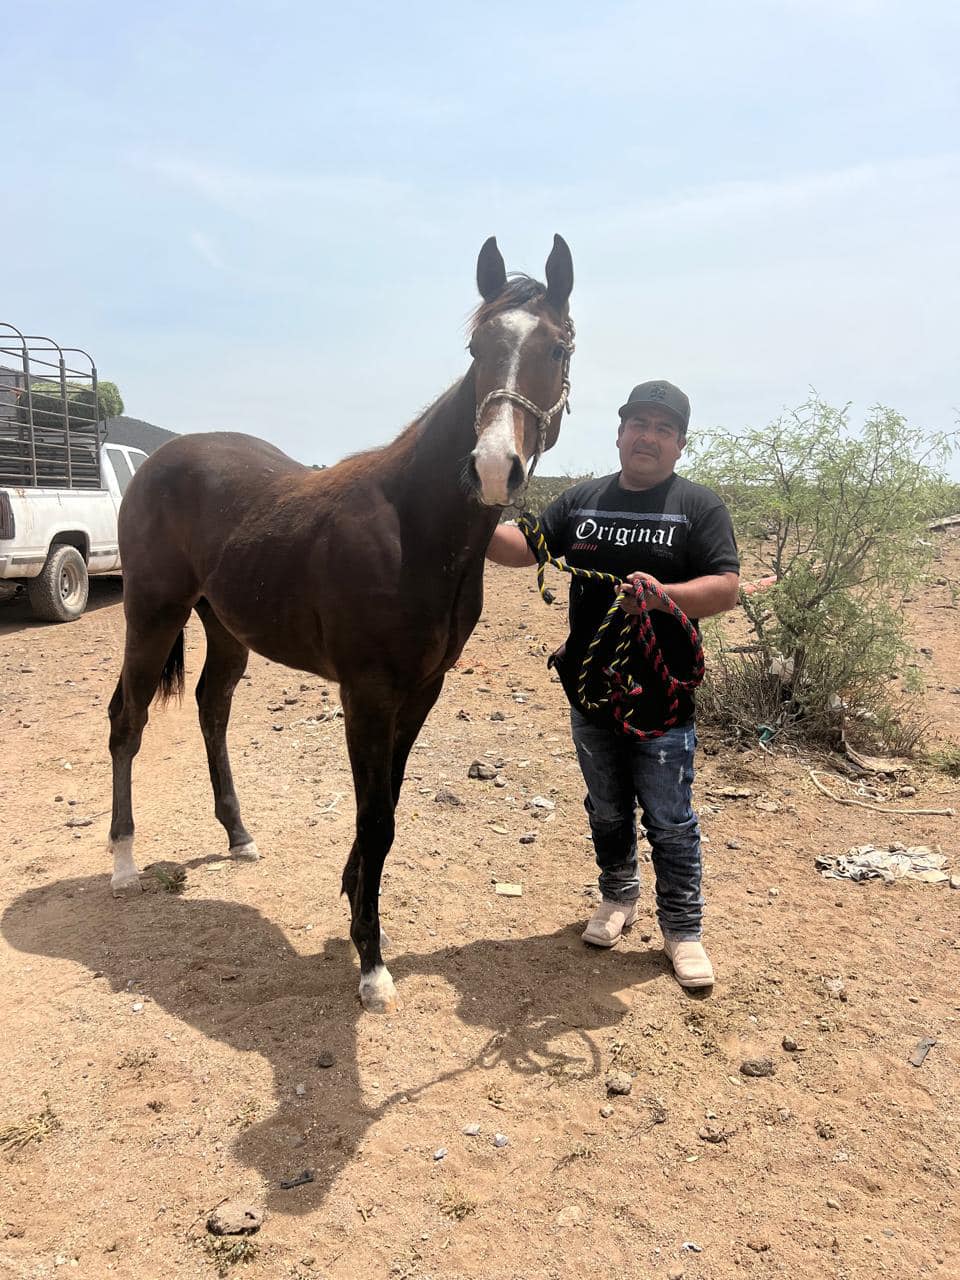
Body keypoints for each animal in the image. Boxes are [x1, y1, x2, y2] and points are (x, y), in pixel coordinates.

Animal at [107, 235, 574, 1013]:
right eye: (475, 348)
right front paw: (371, 960)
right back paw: (121, 860)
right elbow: (375, 814)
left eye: (560, 347)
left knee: (211, 706)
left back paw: (238, 834)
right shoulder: (367, 692)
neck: (412, 526)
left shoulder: (422, 690)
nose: (492, 467)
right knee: (127, 719)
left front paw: (356, 896)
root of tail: (156, 461)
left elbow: (386, 802)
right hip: (152, 614)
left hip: (224, 628)